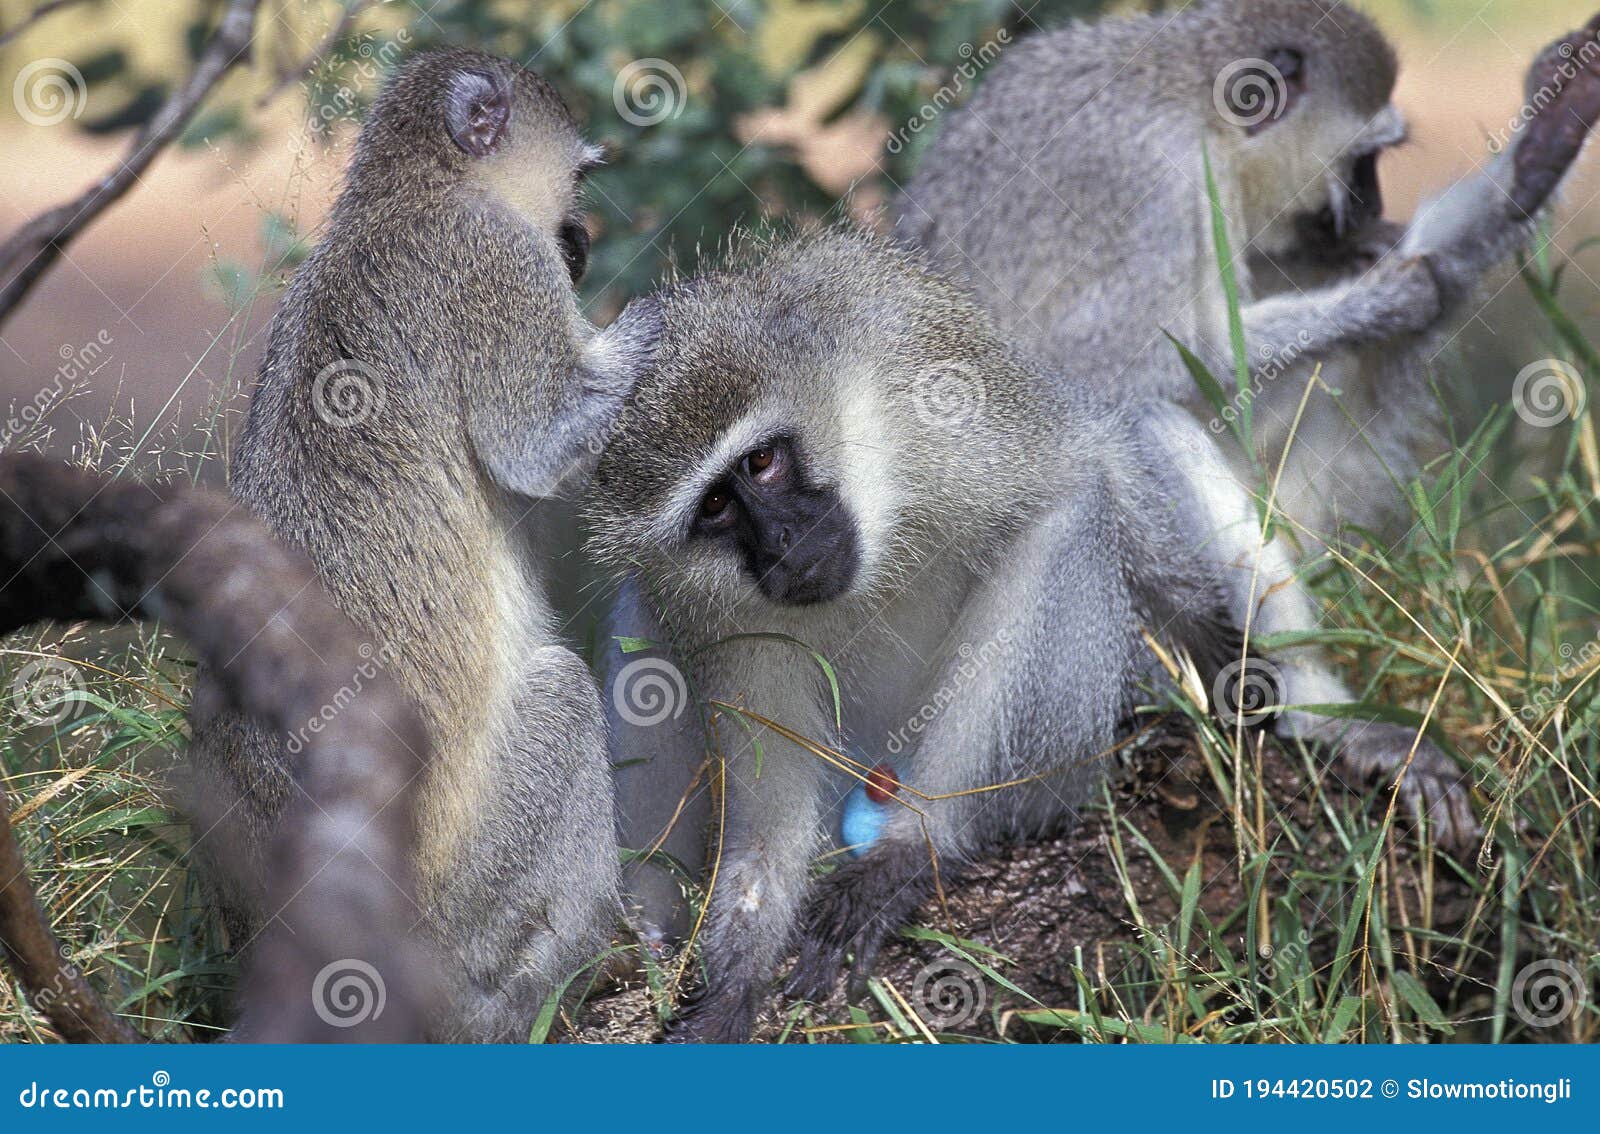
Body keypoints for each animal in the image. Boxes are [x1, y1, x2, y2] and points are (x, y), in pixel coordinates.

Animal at [187, 48, 654, 1043]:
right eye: (579, 182)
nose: (580, 238)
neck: (406, 192)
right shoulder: (488, 262)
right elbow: (539, 447)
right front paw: (656, 320)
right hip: (471, 891)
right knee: (561, 697)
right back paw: (568, 969)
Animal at [585, 227, 1289, 1042]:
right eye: (717, 507)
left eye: (761, 461)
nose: (783, 541)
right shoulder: (722, 618)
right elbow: (767, 807)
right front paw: (736, 974)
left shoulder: (936, 389)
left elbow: (1081, 470)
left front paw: (915, 850)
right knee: (642, 623)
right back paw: (643, 939)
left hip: (1060, 771)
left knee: (1071, 526)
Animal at [894, 0, 1600, 842]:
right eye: (1362, 163)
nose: (1372, 209)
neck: (1185, 92)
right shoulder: (1155, 189)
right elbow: (1114, 378)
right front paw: (1390, 294)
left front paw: (1543, 142)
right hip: (1098, 667)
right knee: (1142, 423)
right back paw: (1315, 713)